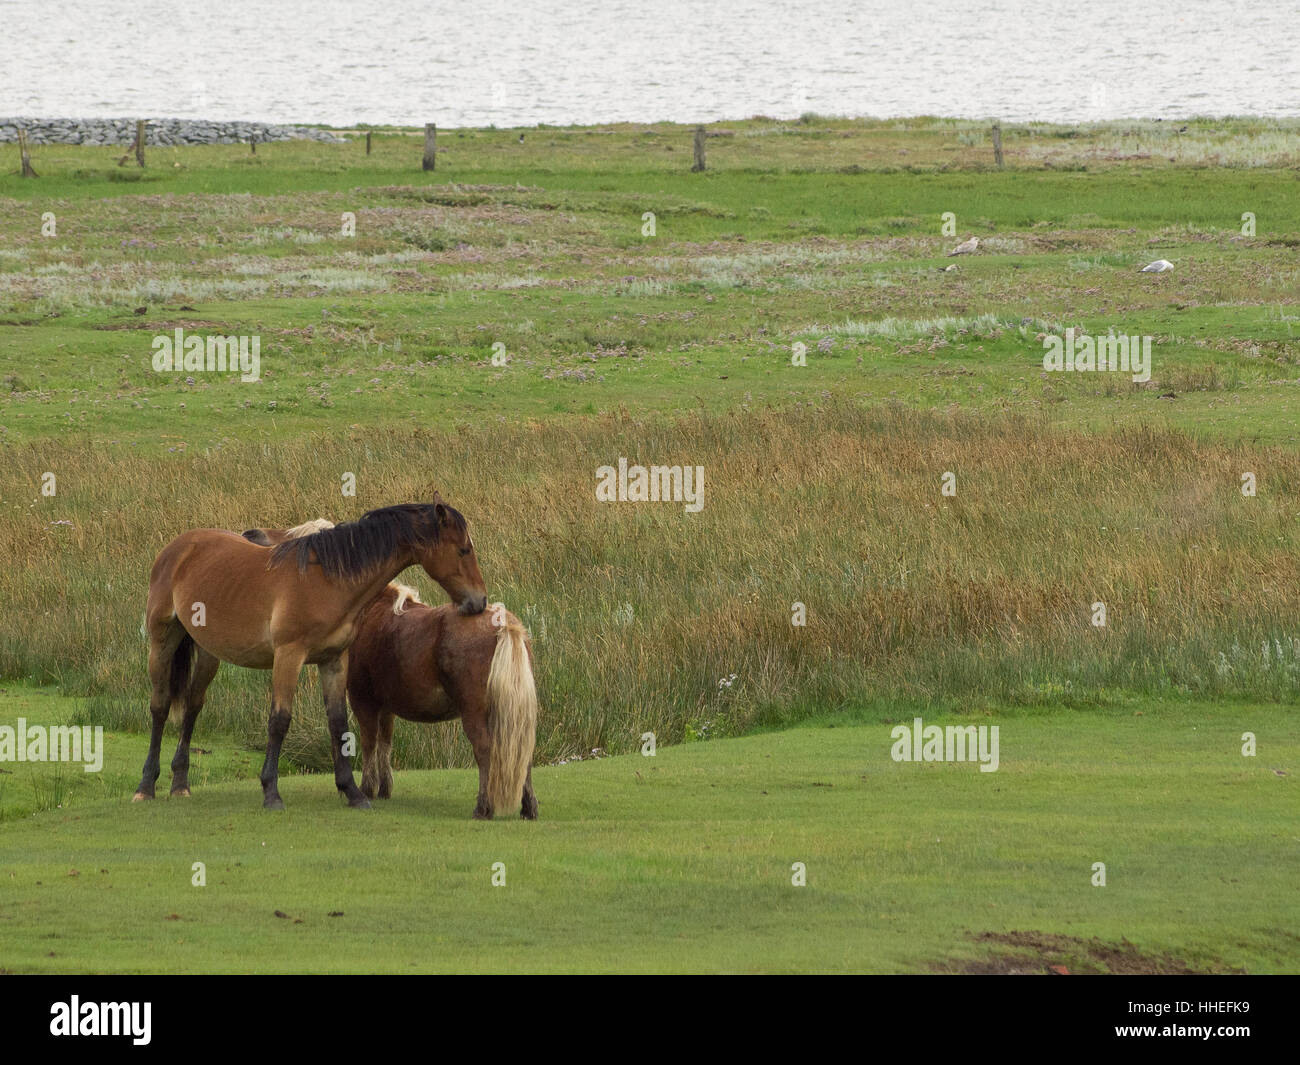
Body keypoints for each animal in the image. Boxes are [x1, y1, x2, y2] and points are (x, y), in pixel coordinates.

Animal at [136, 496, 488, 810]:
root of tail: (179, 546)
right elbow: (279, 720)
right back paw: (146, 785)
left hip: (209, 653)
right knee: (160, 706)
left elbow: (338, 722)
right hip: (162, 642)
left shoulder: (333, 661)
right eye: (463, 549)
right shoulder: (288, 657)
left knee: (193, 707)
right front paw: (271, 792)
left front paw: (352, 792)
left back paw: (180, 784)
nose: (479, 601)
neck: (326, 581)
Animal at [244, 522, 539, 820]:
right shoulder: (386, 706)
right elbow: (385, 742)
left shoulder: (363, 700)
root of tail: (505, 625)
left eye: (292, 539)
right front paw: (383, 788)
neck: (369, 609)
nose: (250, 534)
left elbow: (368, 742)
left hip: (475, 712)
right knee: (522, 753)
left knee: (485, 750)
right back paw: (528, 807)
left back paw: (483, 807)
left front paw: (366, 789)